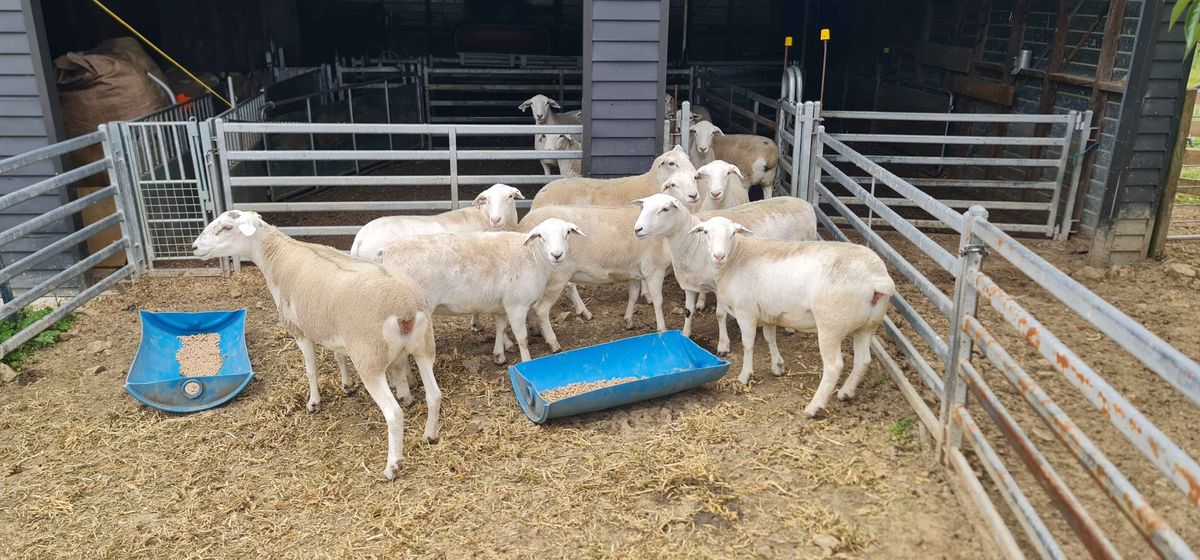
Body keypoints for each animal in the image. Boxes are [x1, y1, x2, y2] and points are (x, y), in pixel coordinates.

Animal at [191, 210, 440, 480]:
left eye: (227, 227)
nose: (194, 247)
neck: (276, 257)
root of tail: (406, 307)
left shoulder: (300, 331)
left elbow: (310, 370)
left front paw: (313, 403)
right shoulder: (330, 329)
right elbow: (339, 357)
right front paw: (347, 385)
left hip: (370, 358)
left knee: (393, 414)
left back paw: (392, 466)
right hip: (424, 346)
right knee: (434, 395)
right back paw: (430, 436)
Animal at [368, 218, 584, 366]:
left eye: (567, 233)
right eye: (541, 236)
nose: (557, 255)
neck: (532, 255)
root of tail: (382, 254)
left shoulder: (500, 305)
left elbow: (500, 328)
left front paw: (499, 355)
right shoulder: (516, 304)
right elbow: (521, 337)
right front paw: (526, 361)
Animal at [518, 205, 672, 351]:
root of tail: (523, 224)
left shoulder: (634, 270)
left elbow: (633, 295)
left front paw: (628, 321)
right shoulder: (654, 269)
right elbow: (658, 301)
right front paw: (662, 329)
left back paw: (536, 329)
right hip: (557, 277)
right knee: (541, 309)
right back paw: (553, 342)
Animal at [632, 194, 818, 353]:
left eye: (665, 209)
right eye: (643, 207)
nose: (637, 229)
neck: (692, 243)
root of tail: (804, 203)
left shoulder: (718, 286)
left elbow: (720, 315)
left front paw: (723, 345)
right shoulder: (689, 284)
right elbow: (688, 311)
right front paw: (685, 334)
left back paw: (790, 328)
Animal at [691, 216, 896, 417]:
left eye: (733, 233)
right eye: (706, 232)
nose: (719, 256)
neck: (736, 257)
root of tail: (877, 279)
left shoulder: (745, 312)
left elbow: (748, 344)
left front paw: (745, 375)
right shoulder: (768, 313)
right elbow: (770, 338)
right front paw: (777, 366)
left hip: (831, 326)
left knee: (834, 366)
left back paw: (814, 407)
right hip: (868, 325)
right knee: (863, 360)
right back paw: (846, 392)